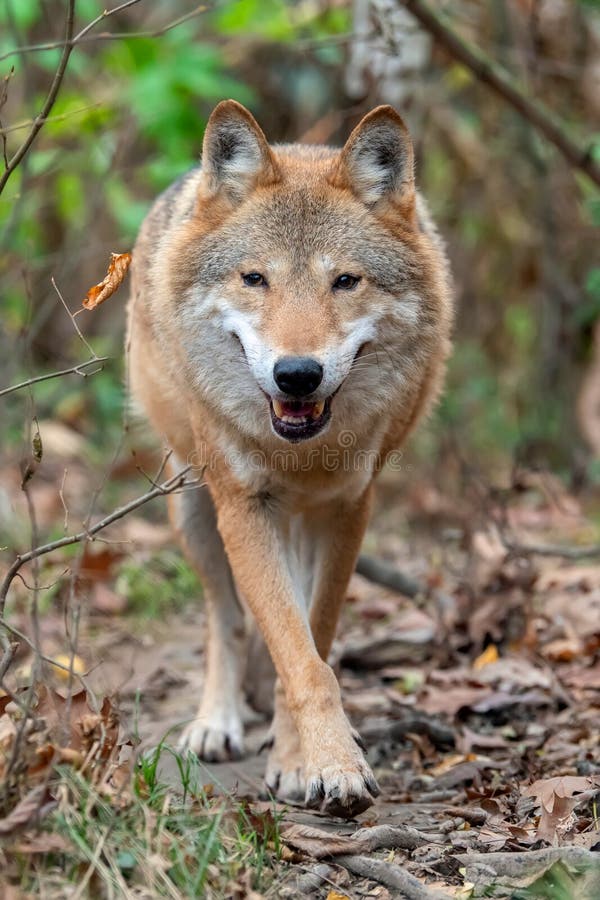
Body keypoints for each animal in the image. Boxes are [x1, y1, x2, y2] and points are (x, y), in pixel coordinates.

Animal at [127, 100, 453, 817]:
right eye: (255, 279)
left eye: (345, 282)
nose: (297, 374)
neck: (304, 456)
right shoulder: (245, 509)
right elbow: (296, 655)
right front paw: (332, 765)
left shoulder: (350, 510)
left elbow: (313, 641)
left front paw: (302, 763)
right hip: (193, 509)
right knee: (224, 620)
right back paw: (215, 723)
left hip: (298, 524)